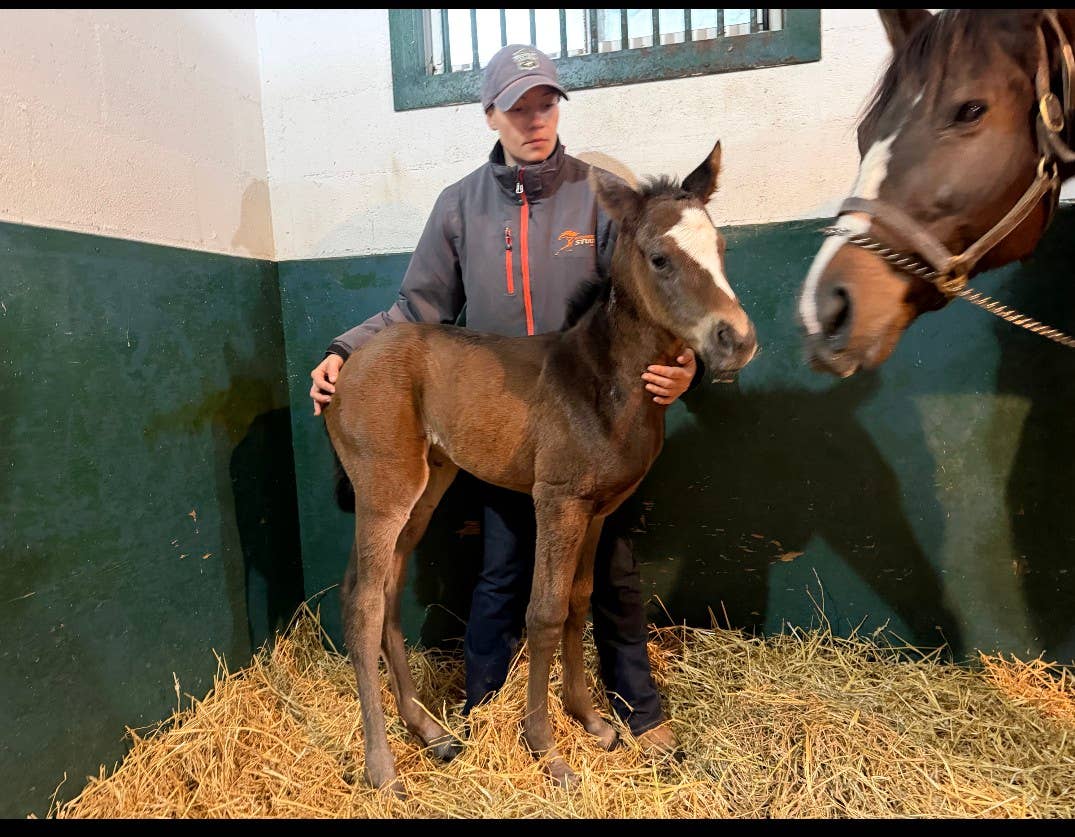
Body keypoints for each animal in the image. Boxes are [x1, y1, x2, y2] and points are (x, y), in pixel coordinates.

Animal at [323, 138, 758, 798]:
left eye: (722, 248)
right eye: (660, 257)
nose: (737, 340)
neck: (600, 383)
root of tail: (343, 367)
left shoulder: (598, 510)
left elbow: (580, 601)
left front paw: (592, 722)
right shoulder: (557, 500)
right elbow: (544, 612)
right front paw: (547, 749)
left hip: (427, 486)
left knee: (388, 589)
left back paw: (430, 731)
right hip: (385, 490)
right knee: (363, 603)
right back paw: (383, 767)